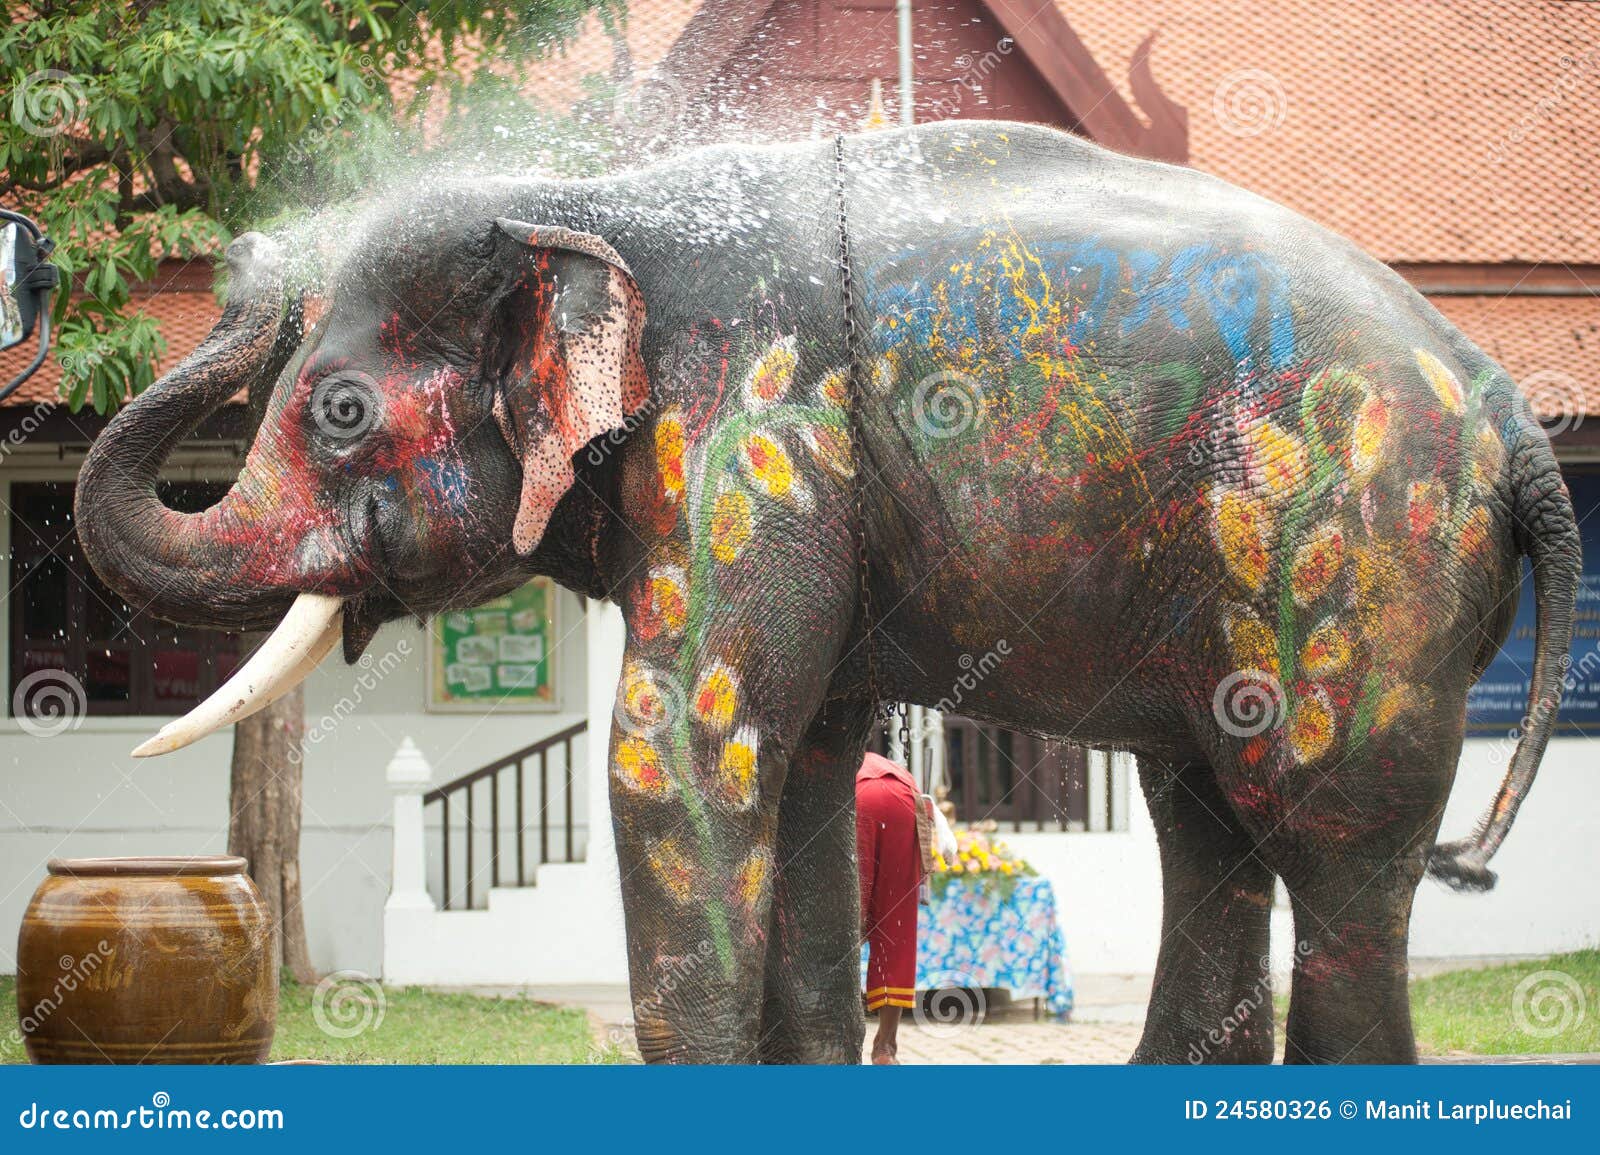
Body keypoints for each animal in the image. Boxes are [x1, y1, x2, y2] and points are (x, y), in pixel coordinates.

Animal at [75, 121, 1579, 1065]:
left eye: (335, 410)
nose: (243, 266)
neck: (602, 200)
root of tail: (1513, 420)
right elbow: (795, 765)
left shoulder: (754, 429)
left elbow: (678, 756)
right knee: (1208, 825)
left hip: (1365, 568)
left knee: (1331, 854)